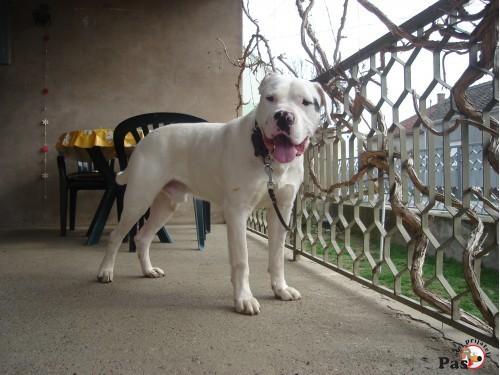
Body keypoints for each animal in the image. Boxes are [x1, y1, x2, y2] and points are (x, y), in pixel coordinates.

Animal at [97, 72, 332, 314]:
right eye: (270, 98)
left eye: (305, 102)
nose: (284, 116)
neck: (266, 157)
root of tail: (145, 139)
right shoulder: (237, 212)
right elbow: (241, 260)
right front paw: (244, 298)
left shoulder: (281, 211)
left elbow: (276, 257)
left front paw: (280, 289)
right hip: (138, 199)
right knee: (116, 236)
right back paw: (105, 271)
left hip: (166, 205)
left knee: (142, 237)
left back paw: (148, 270)